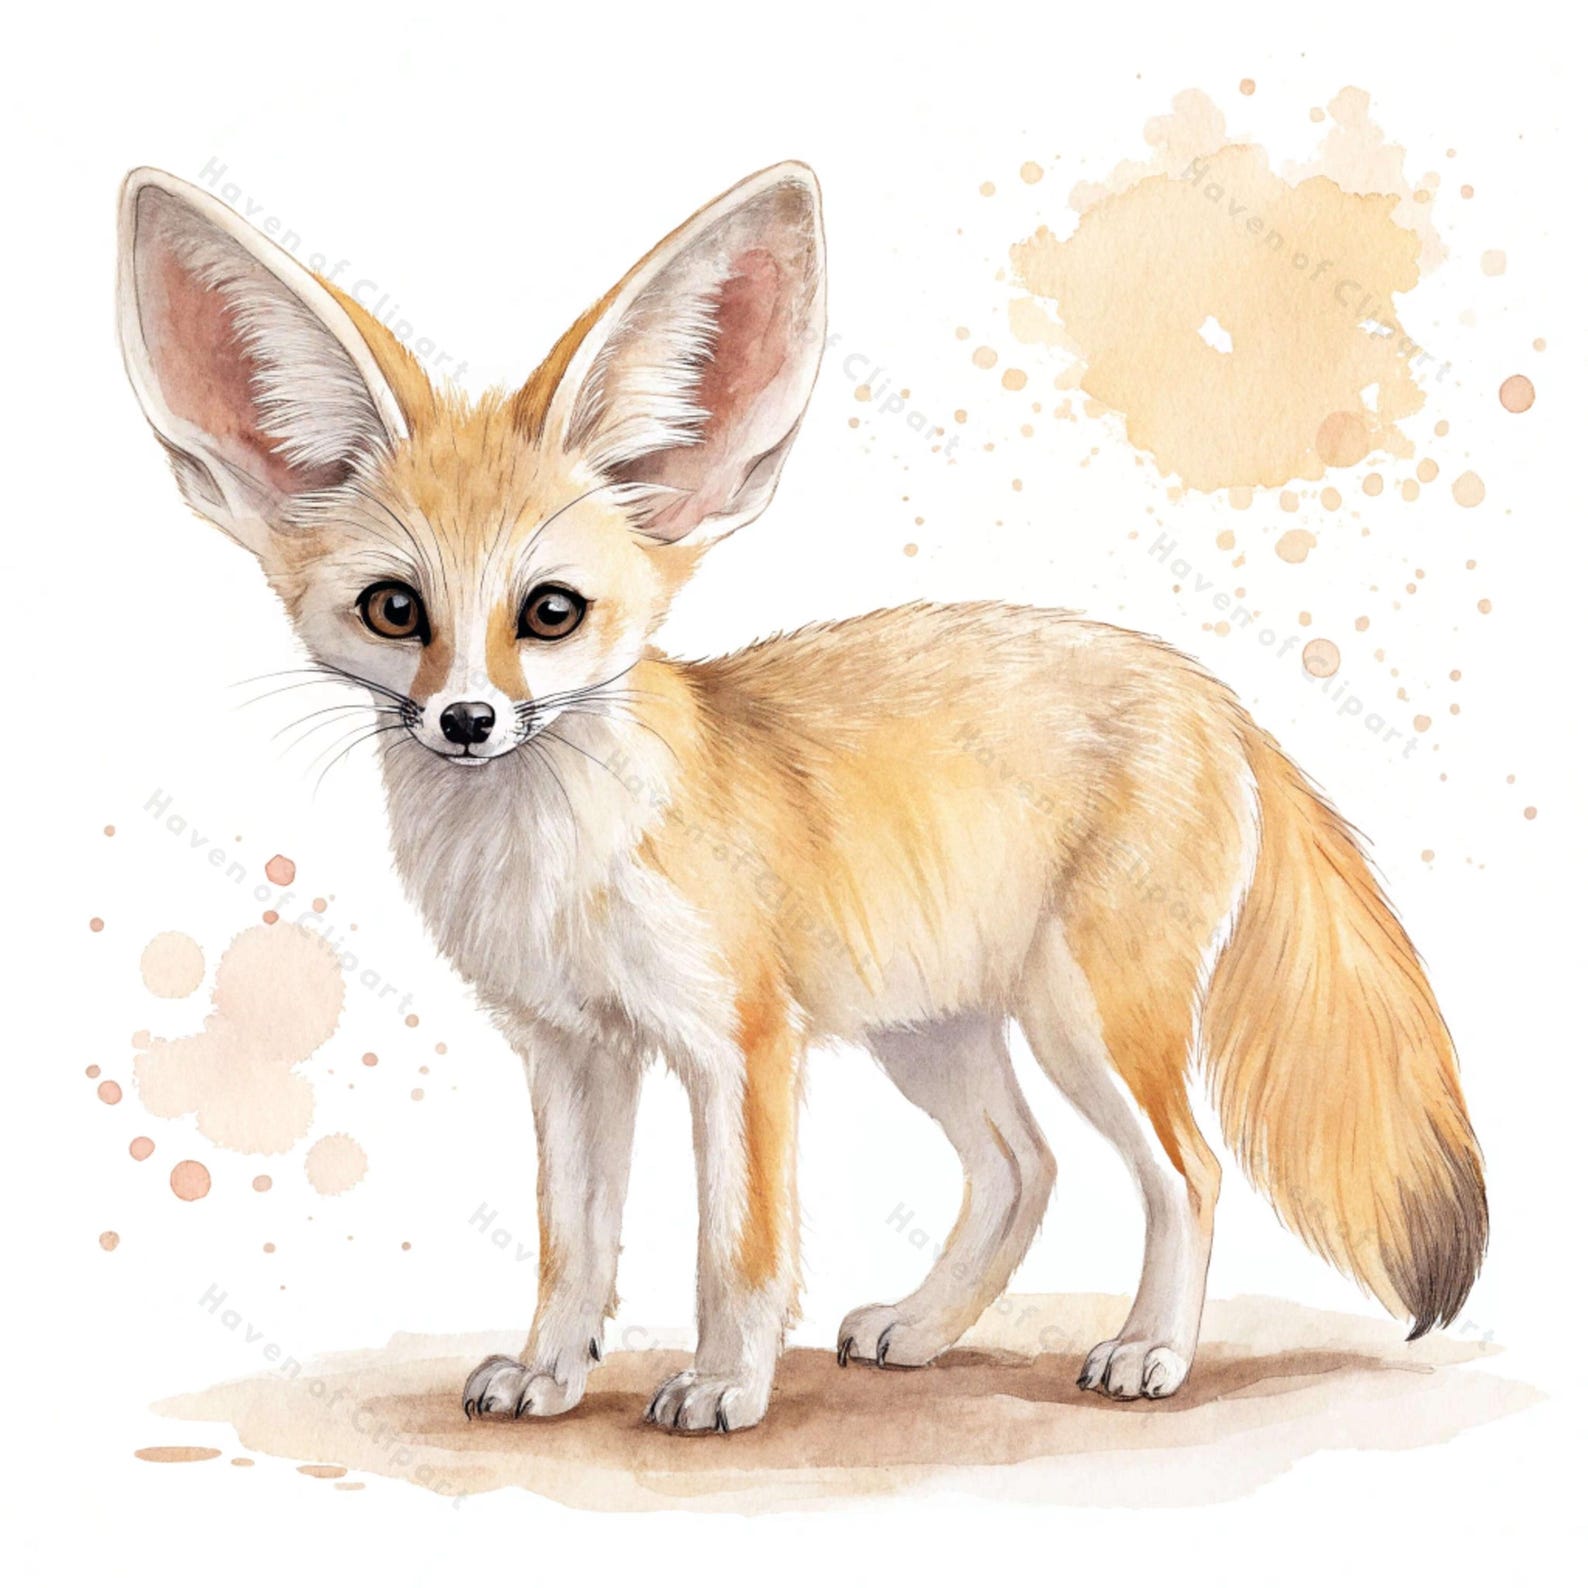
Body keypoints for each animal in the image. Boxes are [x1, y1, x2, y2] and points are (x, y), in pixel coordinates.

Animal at [116, 160, 1486, 1434]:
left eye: (548, 612)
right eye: (396, 609)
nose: (466, 721)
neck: (555, 869)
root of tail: (1210, 689)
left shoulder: (740, 1042)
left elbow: (739, 1247)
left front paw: (725, 1384)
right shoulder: (570, 1050)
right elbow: (575, 1245)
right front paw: (551, 1372)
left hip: (1085, 1020)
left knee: (1186, 1173)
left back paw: (1149, 1349)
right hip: (932, 1027)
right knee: (1022, 1168)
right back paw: (921, 1330)